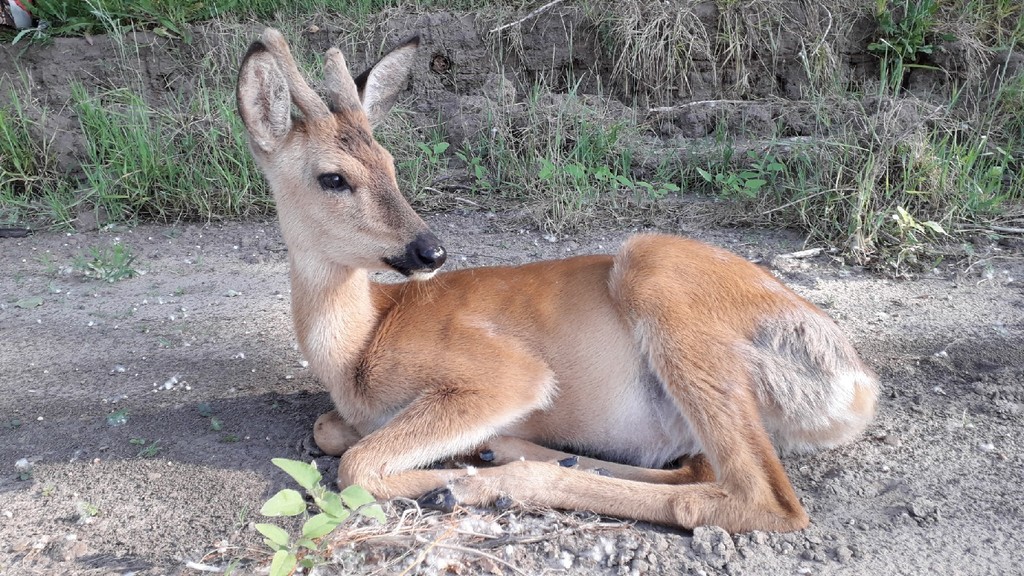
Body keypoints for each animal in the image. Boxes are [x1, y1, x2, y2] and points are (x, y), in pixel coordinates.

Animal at [236, 28, 878, 533]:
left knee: (761, 499)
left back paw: (484, 482)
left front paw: (440, 483)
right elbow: (328, 430)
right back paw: (508, 454)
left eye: (391, 166)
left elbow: (358, 465)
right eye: (333, 177)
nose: (430, 249)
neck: (361, 344)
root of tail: (859, 383)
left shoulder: (507, 373)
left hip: (658, 279)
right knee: (696, 469)